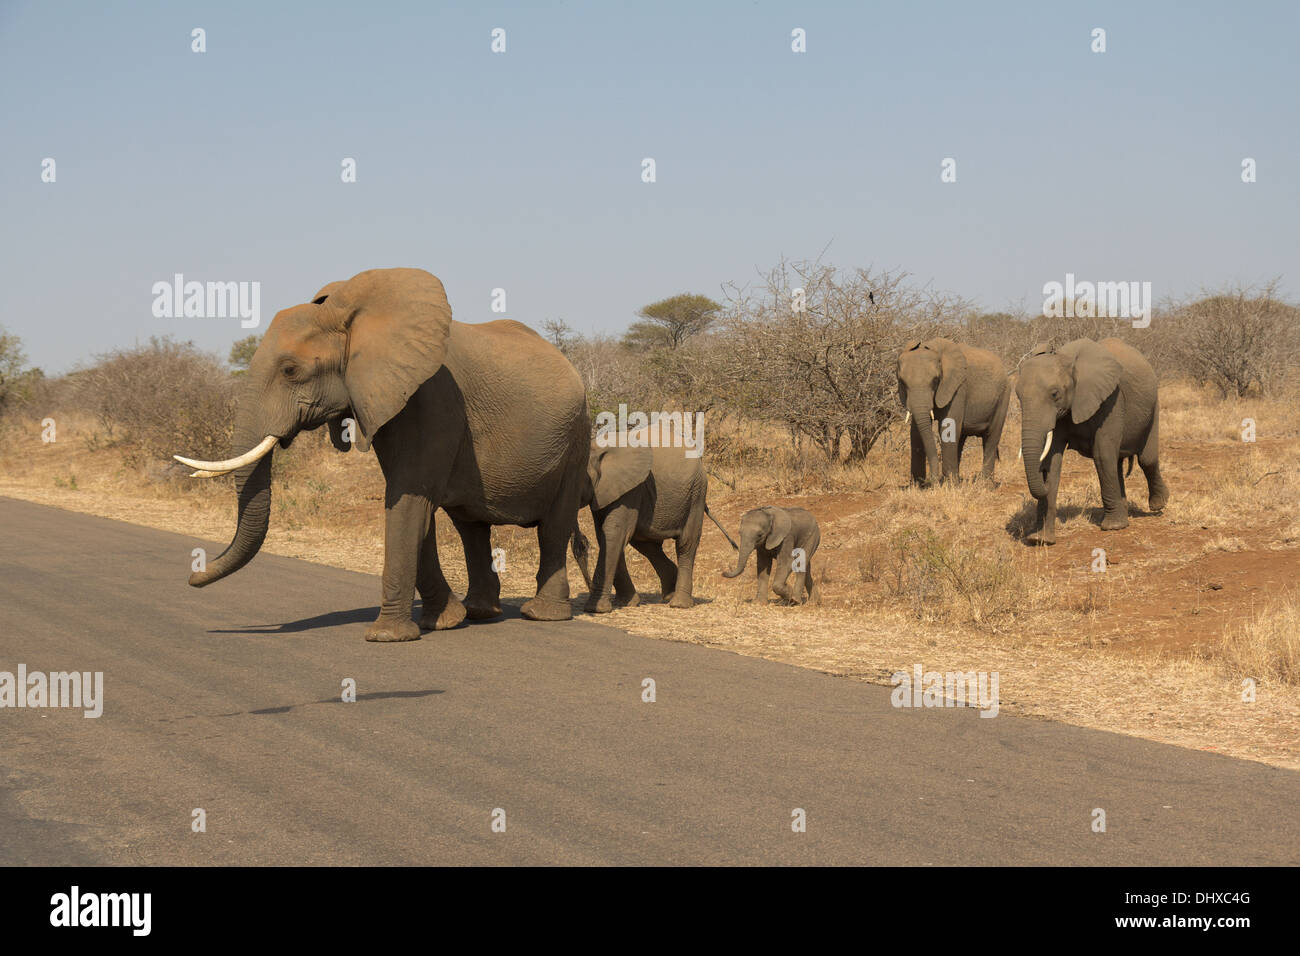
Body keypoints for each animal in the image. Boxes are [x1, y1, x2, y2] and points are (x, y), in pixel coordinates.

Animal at [174, 268, 590, 642]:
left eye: (291, 370)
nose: (192, 576)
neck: (349, 315)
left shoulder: (434, 397)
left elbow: (408, 501)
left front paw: (387, 636)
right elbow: (415, 505)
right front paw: (444, 622)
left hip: (576, 437)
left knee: (554, 525)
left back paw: (542, 615)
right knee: (471, 526)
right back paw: (479, 613)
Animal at [570, 429, 738, 612]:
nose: (581, 543)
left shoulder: (632, 489)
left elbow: (614, 534)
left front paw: (595, 609)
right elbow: (606, 537)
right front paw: (626, 603)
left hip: (696, 493)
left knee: (686, 543)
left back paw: (679, 604)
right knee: (647, 545)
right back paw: (669, 594)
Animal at [897, 338, 1012, 484]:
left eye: (935, 380)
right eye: (902, 382)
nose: (932, 481)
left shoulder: (958, 388)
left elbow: (948, 427)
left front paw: (948, 485)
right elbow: (916, 432)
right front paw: (918, 485)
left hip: (1003, 396)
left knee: (991, 437)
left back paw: (984, 485)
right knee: (962, 437)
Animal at [1016, 337, 1168, 545]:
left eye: (1055, 394)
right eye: (1018, 395)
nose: (1043, 476)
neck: (1067, 361)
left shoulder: (1112, 400)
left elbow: (1101, 454)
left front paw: (1112, 528)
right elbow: (1053, 458)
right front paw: (1041, 539)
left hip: (1154, 405)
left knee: (1146, 459)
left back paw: (1157, 505)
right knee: (1117, 464)